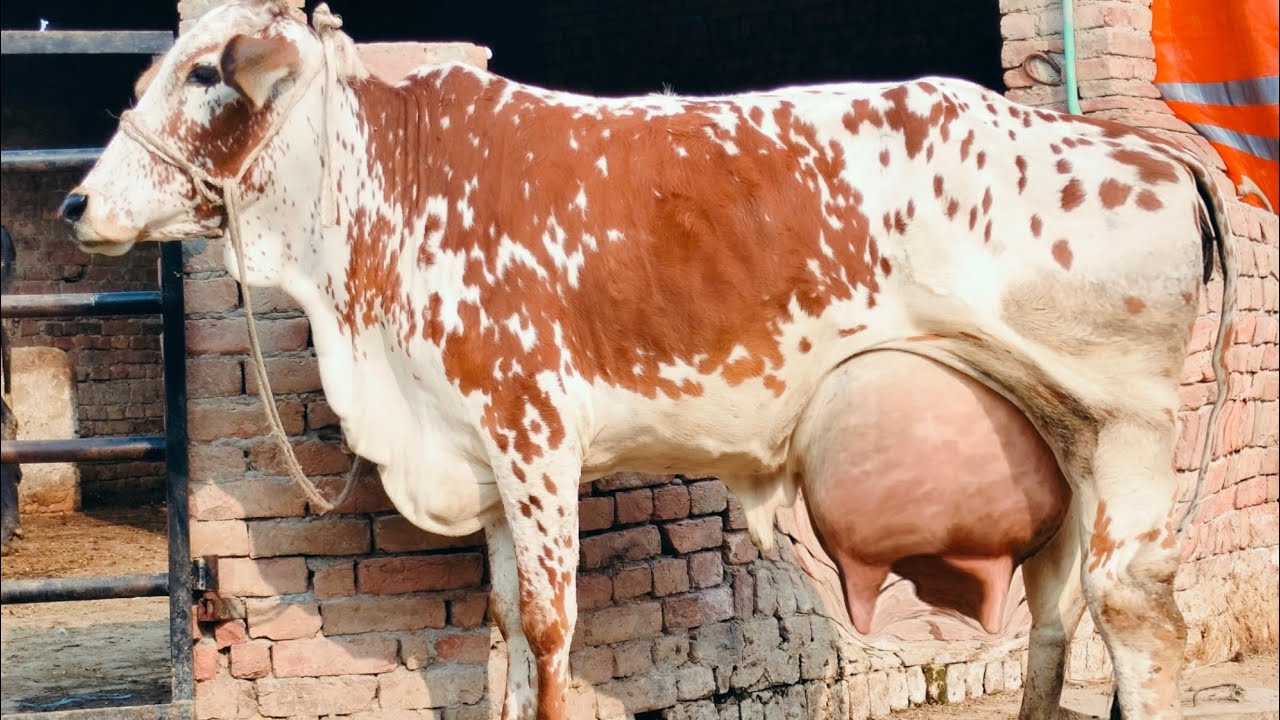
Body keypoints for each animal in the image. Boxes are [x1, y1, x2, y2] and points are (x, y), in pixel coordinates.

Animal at [61, 2, 1234, 718]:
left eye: (204, 71)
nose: (77, 203)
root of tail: (1143, 149)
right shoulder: (483, 460)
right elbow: (500, 621)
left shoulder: (533, 437)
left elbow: (546, 628)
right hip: (1063, 435)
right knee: (1058, 605)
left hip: (1127, 419)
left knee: (1134, 607)